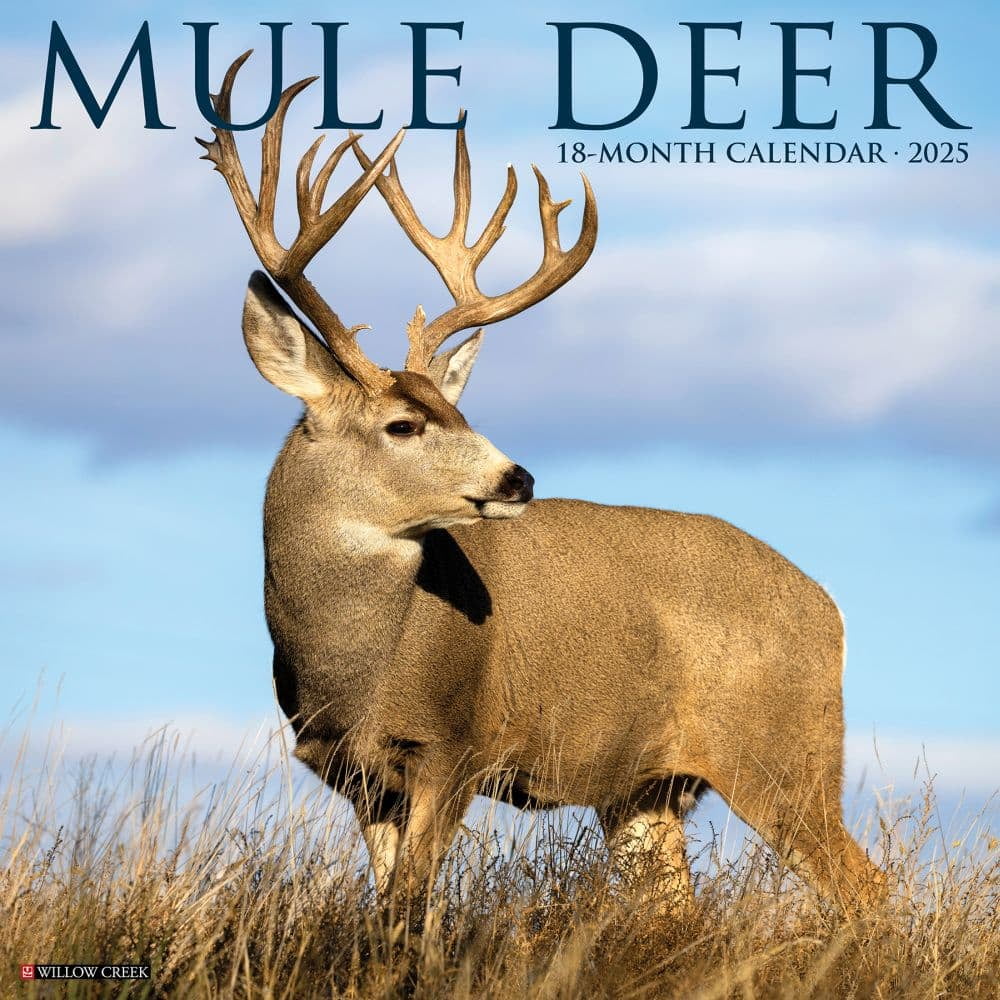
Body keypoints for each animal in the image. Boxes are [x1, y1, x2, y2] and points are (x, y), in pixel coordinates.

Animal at [198, 51, 885, 929]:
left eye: (459, 410)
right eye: (403, 425)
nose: (516, 475)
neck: (355, 667)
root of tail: (829, 607)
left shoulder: (454, 747)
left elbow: (408, 911)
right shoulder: (358, 778)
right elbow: (386, 909)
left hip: (784, 755)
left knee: (870, 889)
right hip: (647, 787)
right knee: (679, 909)